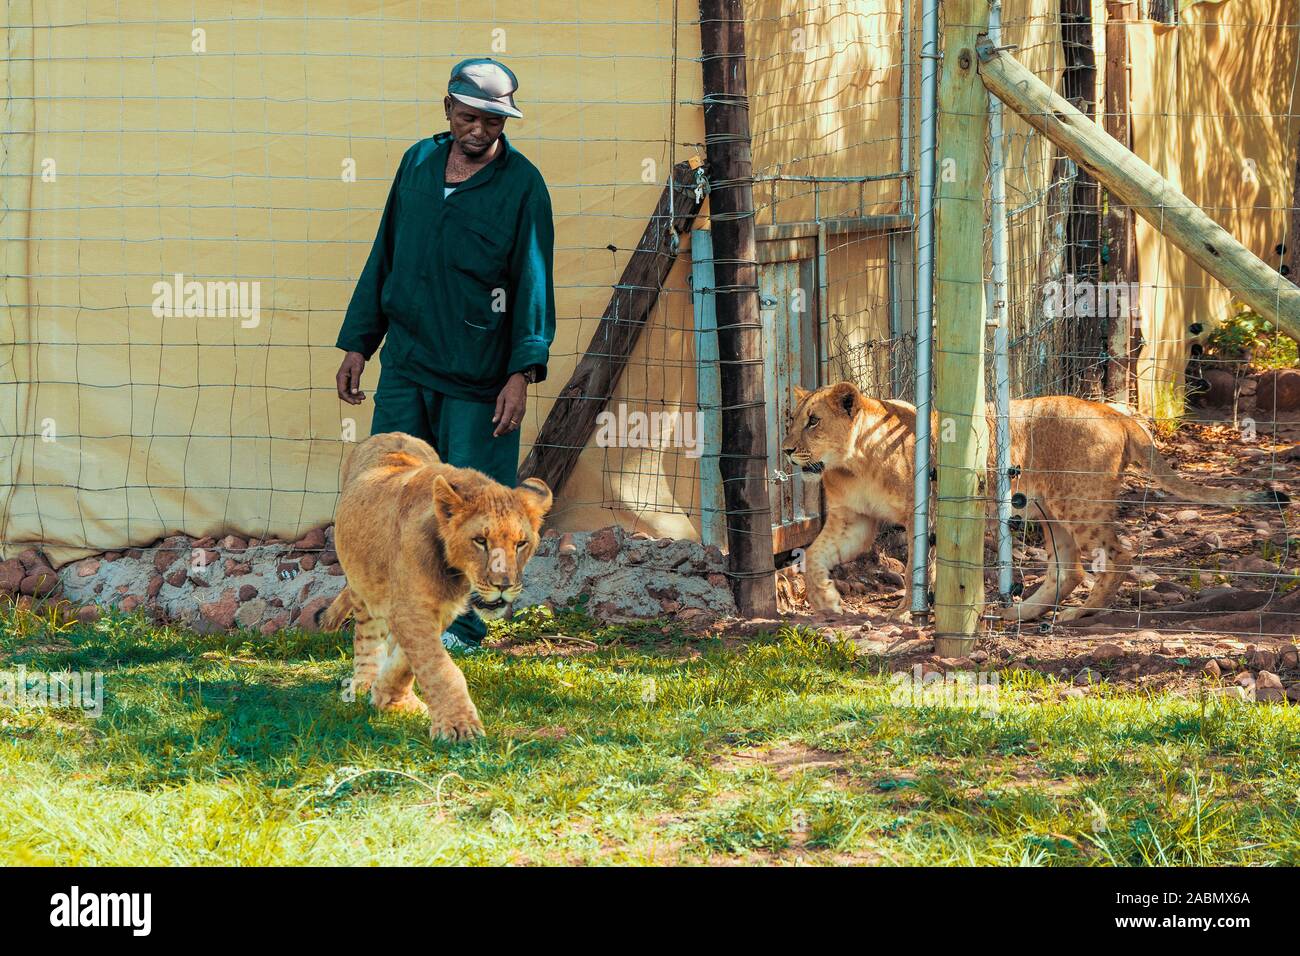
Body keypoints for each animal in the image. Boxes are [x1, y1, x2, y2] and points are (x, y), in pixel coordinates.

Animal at [321, 432, 552, 741]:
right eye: (480, 541)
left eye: (521, 543)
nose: (503, 585)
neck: (455, 573)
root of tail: (392, 434)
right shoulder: (411, 610)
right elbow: (439, 668)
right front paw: (459, 725)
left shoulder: (438, 610)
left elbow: (407, 661)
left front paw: (389, 698)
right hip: (361, 584)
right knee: (367, 636)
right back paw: (363, 681)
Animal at [782, 382, 1288, 624]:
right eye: (790, 419)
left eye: (813, 421)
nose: (786, 450)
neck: (852, 461)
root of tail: (1118, 414)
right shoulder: (853, 520)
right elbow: (814, 557)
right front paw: (829, 605)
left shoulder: (921, 514)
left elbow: (914, 569)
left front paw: (904, 613)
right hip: (1047, 510)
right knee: (1070, 569)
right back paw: (1020, 612)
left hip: (1078, 502)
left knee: (1118, 555)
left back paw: (1080, 613)